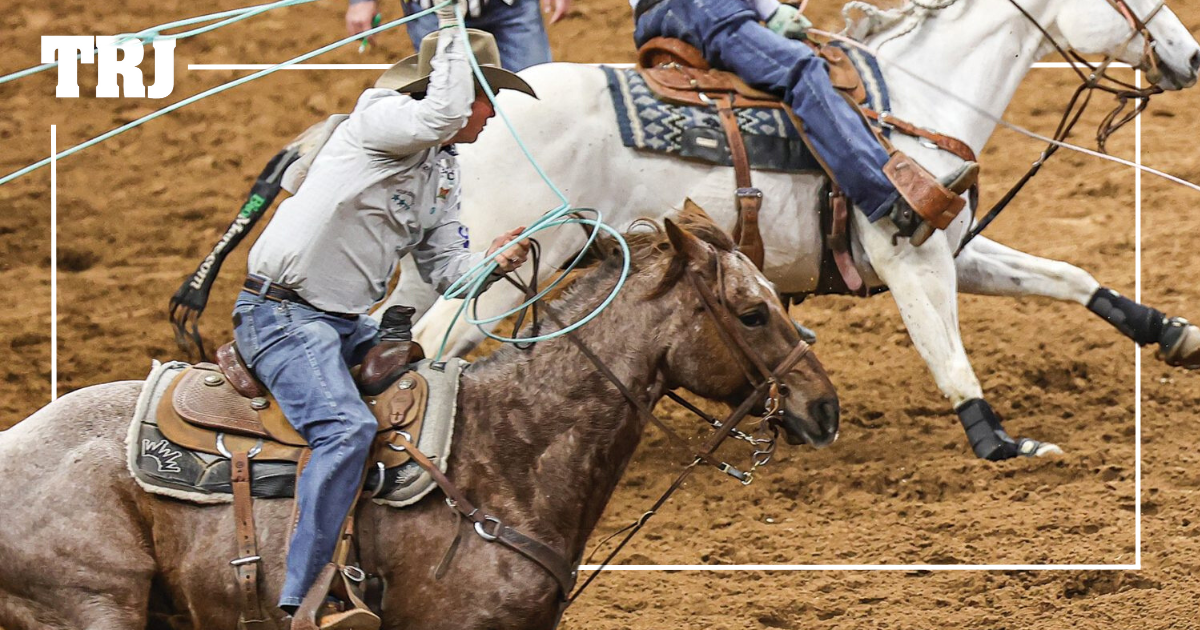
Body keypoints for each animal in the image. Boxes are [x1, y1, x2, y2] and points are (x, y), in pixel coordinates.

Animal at [376, 0, 1200, 459]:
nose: (1190, 55)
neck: (911, 101)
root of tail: (460, 109)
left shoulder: (952, 244)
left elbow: (1067, 277)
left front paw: (1171, 332)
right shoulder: (909, 252)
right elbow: (946, 350)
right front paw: (999, 442)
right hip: (505, 263)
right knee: (437, 342)